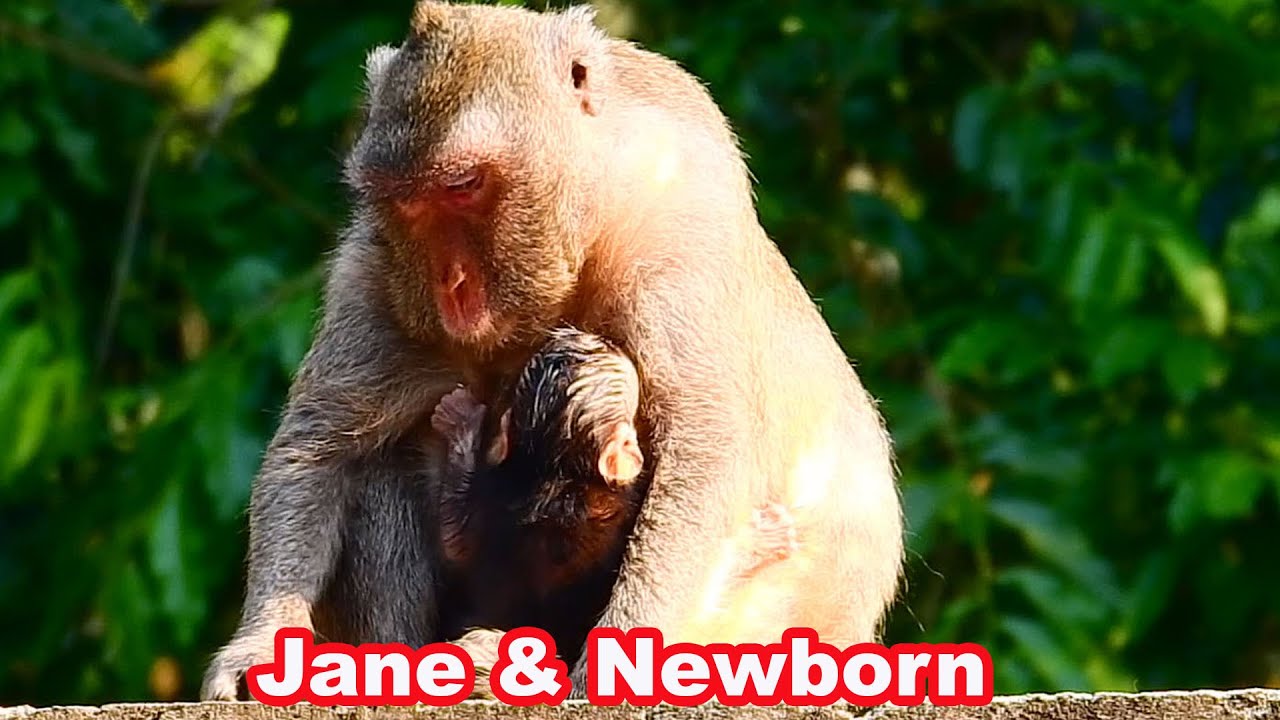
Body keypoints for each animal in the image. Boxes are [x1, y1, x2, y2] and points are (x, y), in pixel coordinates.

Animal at [430, 328, 799, 667]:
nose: (598, 337)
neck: (552, 473)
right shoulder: (622, 510)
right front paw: (760, 542)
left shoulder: (495, 492)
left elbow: (456, 543)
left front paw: (459, 419)